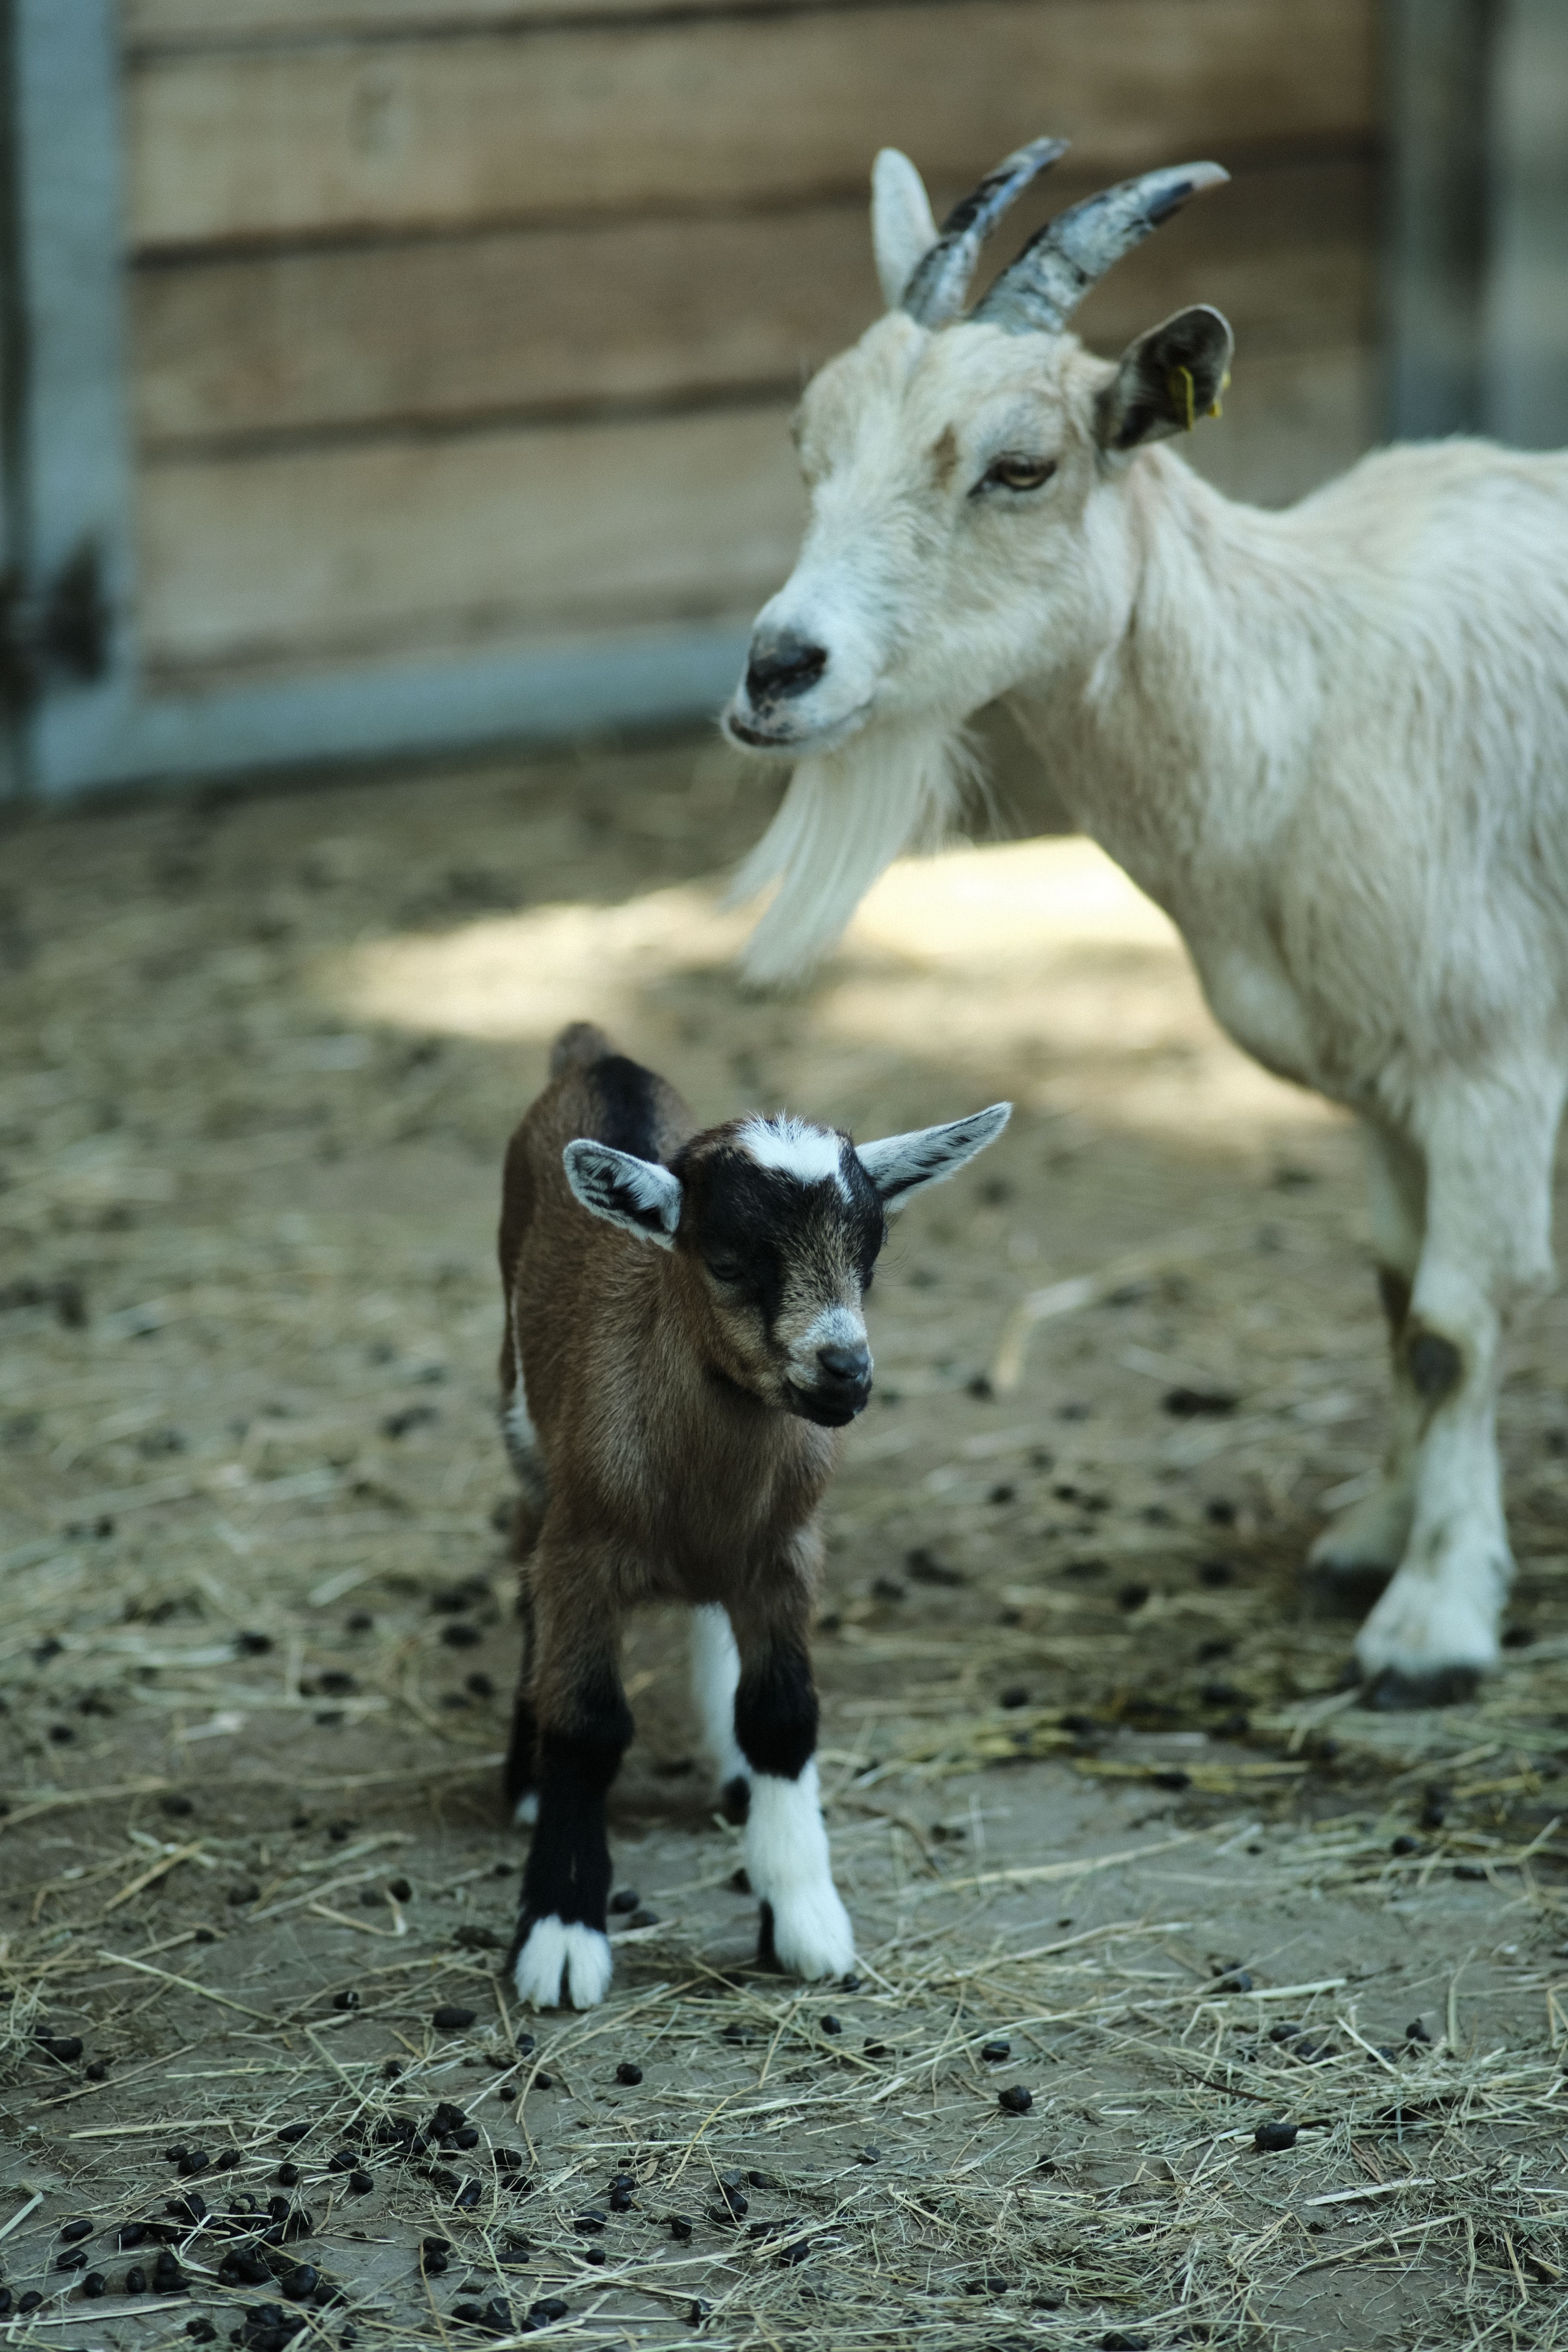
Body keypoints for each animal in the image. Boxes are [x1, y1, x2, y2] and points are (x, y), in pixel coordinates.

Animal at [498, 1020, 1009, 2007]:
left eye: (868, 1264)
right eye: (730, 1264)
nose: (844, 1372)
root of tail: (595, 1053)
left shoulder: (785, 1552)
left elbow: (782, 1715)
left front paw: (804, 1916)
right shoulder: (583, 1550)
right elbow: (587, 1725)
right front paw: (562, 1933)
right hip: (521, 1424)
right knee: (520, 1555)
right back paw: (523, 1771)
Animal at [721, 135, 1568, 1709]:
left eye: (1021, 466)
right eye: (810, 443)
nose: (778, 672)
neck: (1303, 697)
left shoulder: (1487, 1060)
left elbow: (1450, 1325)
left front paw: (1432, 1622)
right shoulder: (1385, 1082)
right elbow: (1392, 1295)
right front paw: (1371, 1534)